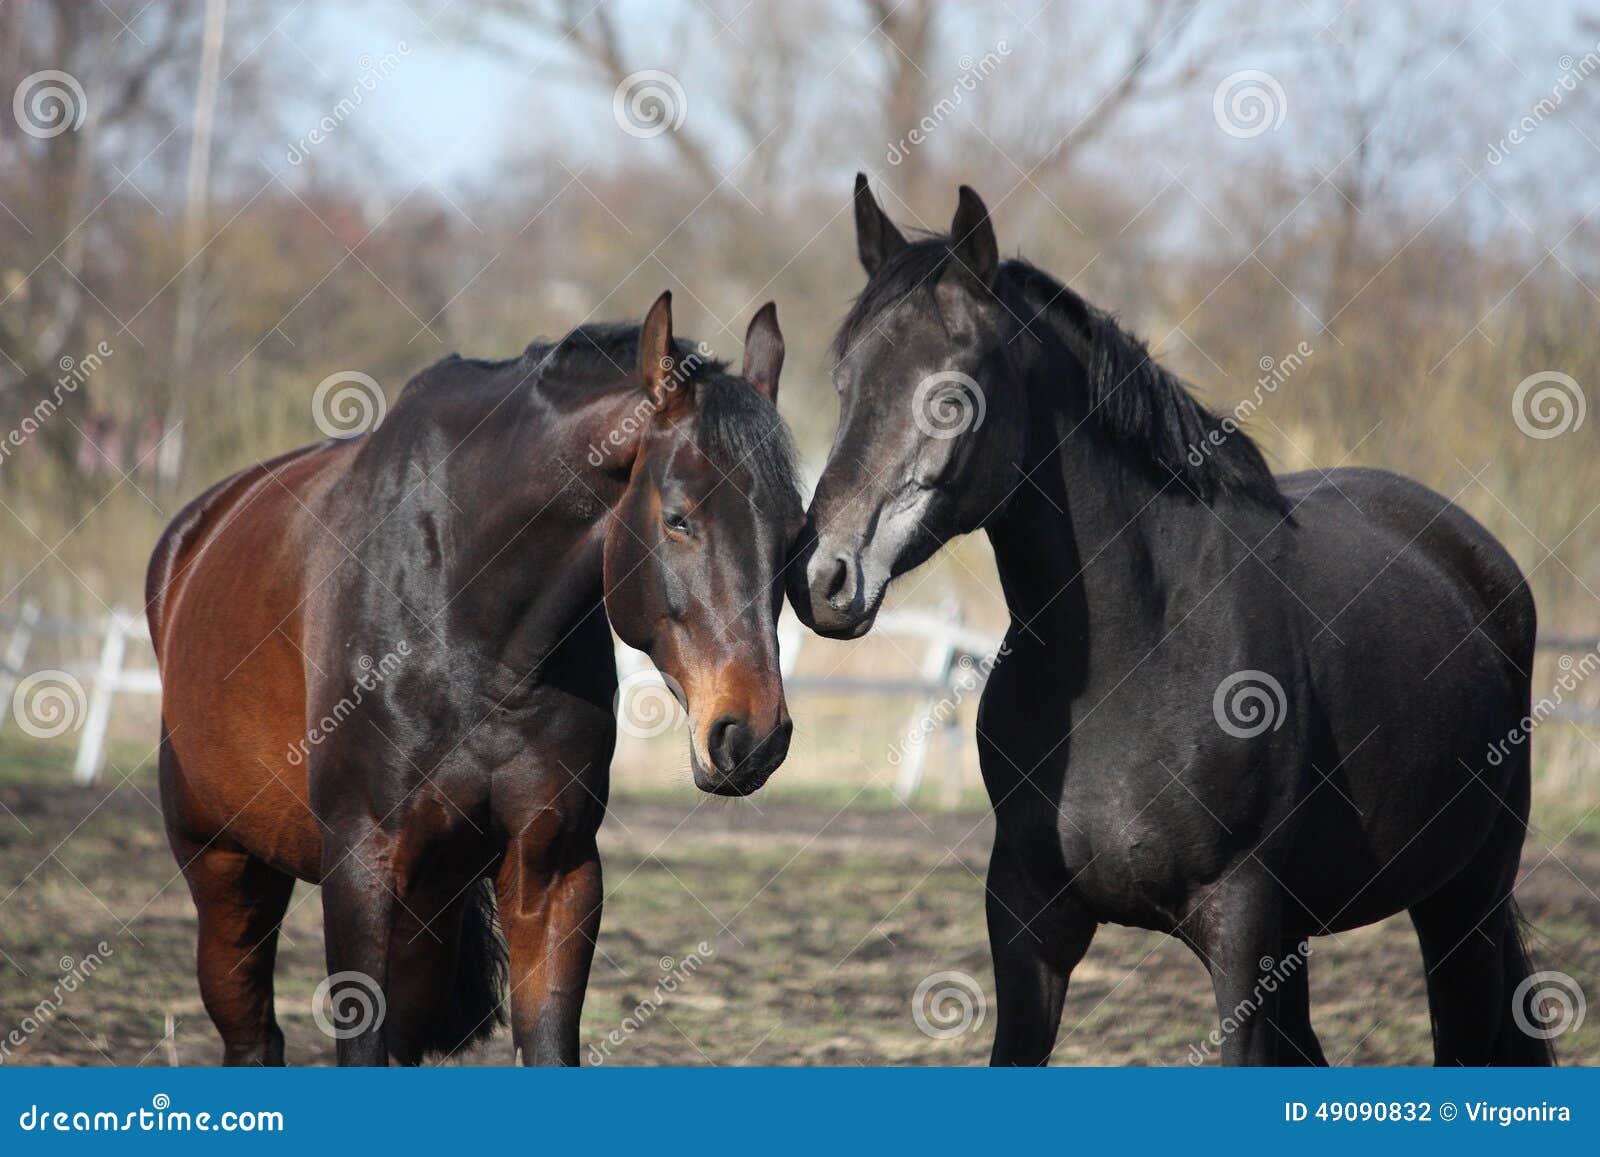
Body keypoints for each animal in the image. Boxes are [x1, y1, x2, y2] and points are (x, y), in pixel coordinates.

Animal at [148, 292, 803, 1065]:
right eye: (677, 518)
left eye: (794, 532)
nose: (752, 737)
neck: (474, 636)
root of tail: (195, 532)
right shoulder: (359, 869)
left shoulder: (554, 872)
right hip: (226, 870)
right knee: (252, 1034)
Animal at [788, 175, 1552, 1066]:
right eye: (845, 380)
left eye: (952, 393)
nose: (822, 576)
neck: (1137, 651)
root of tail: (1482, 561)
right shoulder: (1027, 919)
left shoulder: (1240, 927)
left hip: (1463, 903)